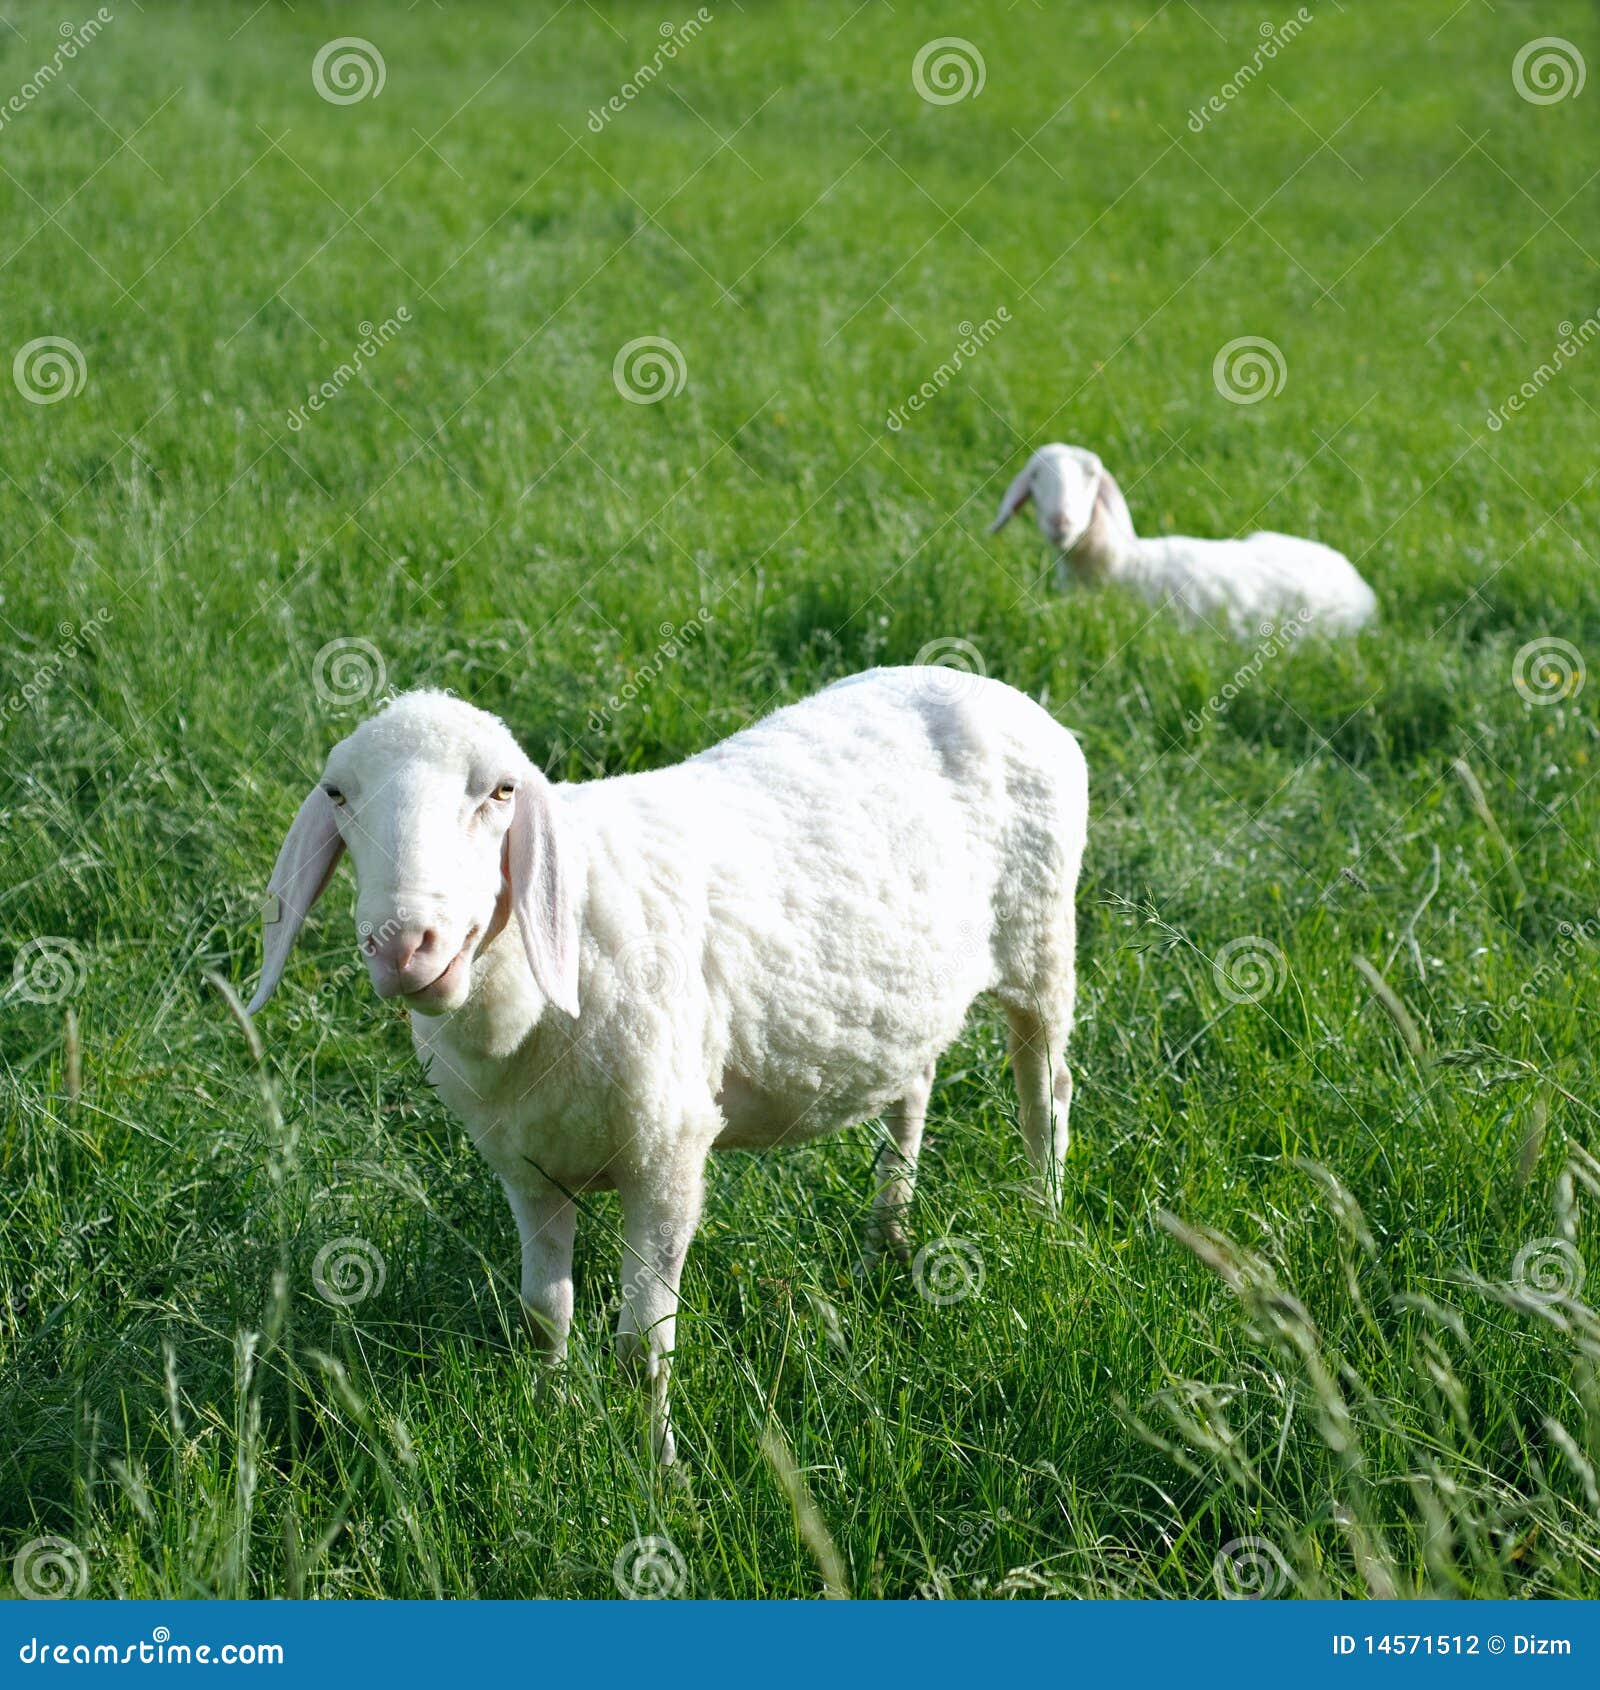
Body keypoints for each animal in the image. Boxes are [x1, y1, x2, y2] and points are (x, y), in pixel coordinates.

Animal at [247, 668, 1087, 1463]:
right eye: (337, 794)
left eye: (502, 791)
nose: (402, 945)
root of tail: (979, 684)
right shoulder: (526, 1166)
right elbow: (543, 1314)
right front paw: (552, 1419)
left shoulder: (667, 1152)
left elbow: (640, 1346)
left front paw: (659, 1470)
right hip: (908, 999)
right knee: (913, 1088)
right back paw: (887, 1238)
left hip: (1041, 940)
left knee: (1044, 1092)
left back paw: (1045, 1220)